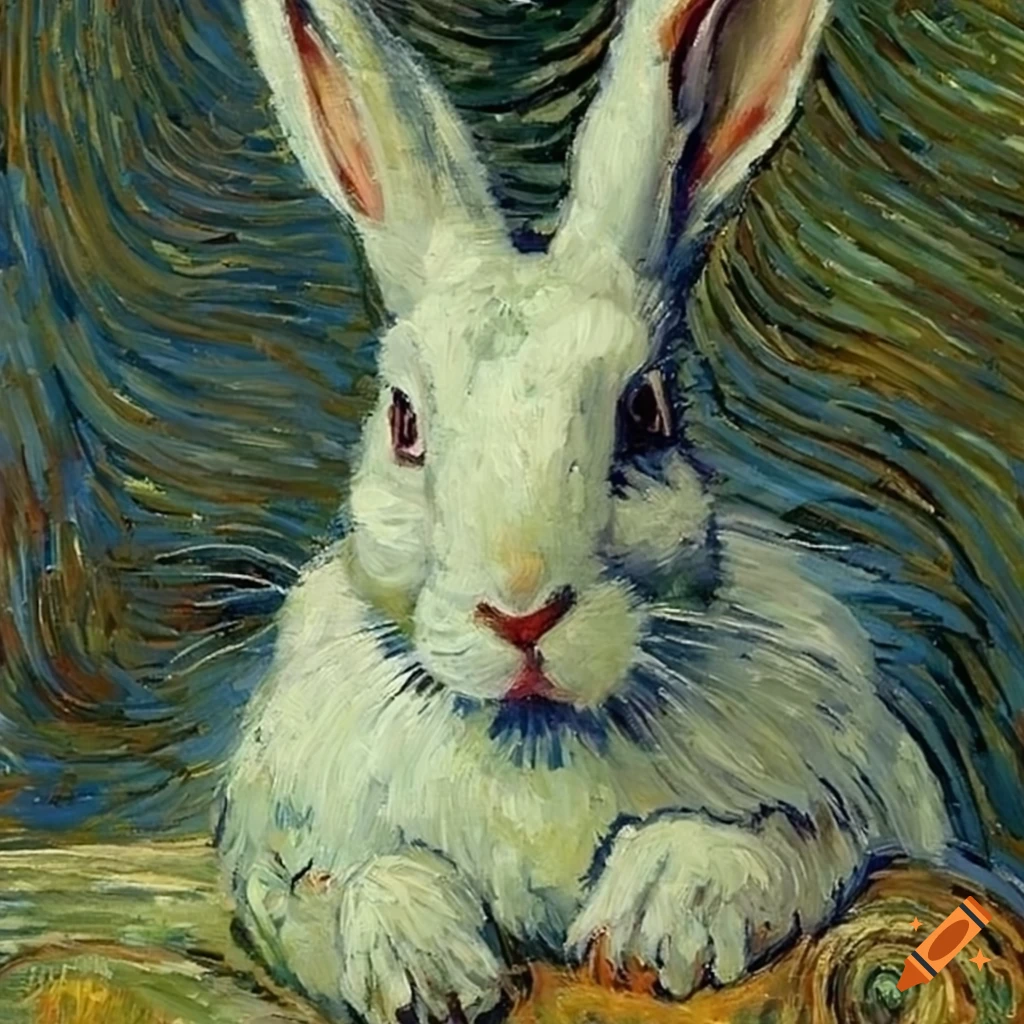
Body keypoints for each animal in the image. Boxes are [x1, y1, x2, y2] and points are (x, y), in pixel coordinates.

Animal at [215, 0, 952, 1021]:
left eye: (646, 413)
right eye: (404, 421)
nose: (522, 614)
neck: (537, 741)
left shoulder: (871, 805)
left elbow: (790, 842)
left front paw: (661, 915)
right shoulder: (275, 863)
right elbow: (335, 890)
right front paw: (425, 967)